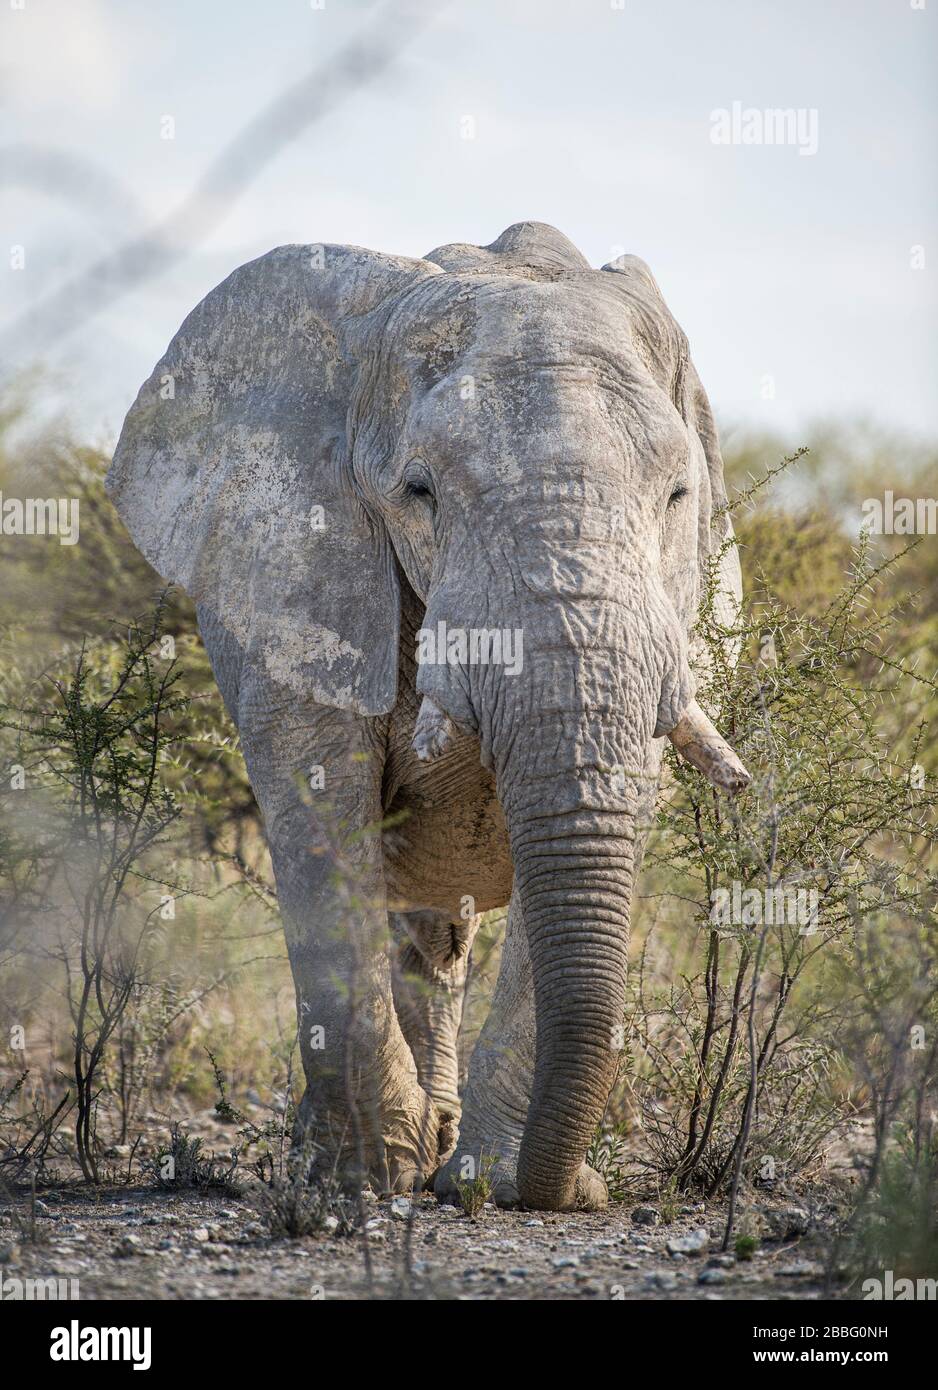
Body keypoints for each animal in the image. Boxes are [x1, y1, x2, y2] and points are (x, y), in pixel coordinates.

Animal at [106, 220, 750, 1212]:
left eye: (679, 497)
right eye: (421, 492)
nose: (571, 1192)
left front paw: (496, 1182)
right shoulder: (294, 576)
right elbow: (320, 817)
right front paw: (368, 1177)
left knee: (439, 938)